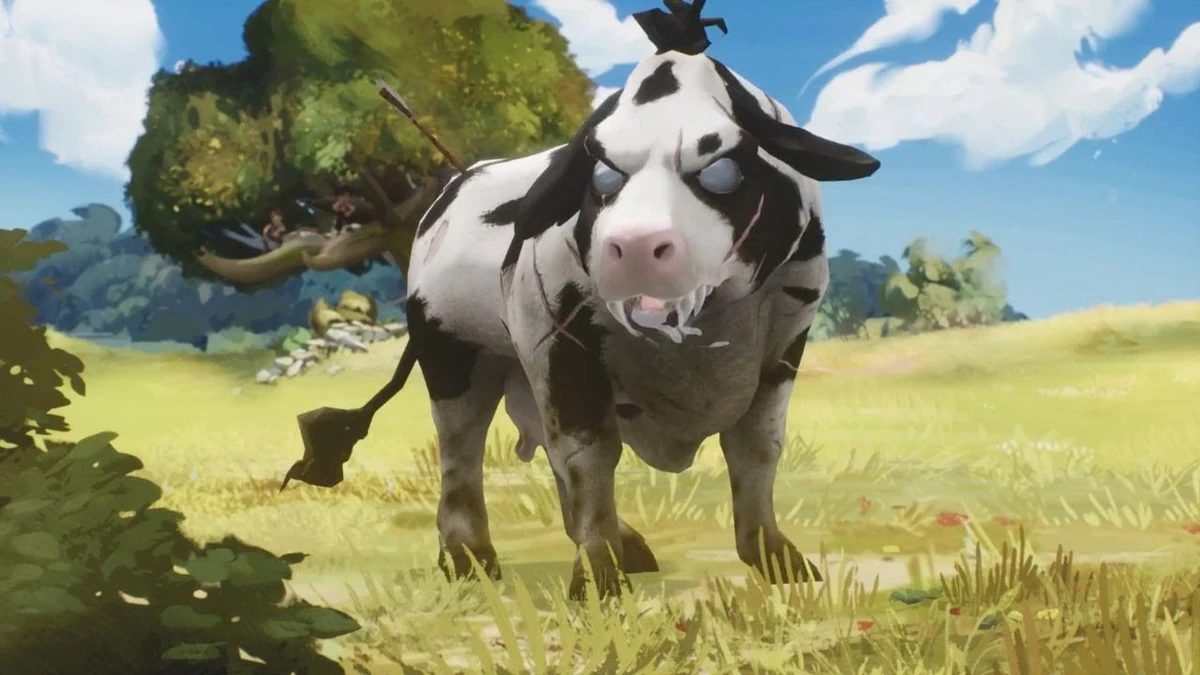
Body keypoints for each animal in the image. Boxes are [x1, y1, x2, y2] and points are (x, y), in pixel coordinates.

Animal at [284, 3, 881, 601]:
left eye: (721, 168)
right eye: (603, 174)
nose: (634, 246)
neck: (701, 337)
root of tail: (455, 186)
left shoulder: (783, 347)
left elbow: (757, 447)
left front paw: (776, 558)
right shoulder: (563, 348)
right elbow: (589, 453)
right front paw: (596, 574)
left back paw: (626, 545)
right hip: (454, 353)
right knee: (462, 451)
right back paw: (468, 556)